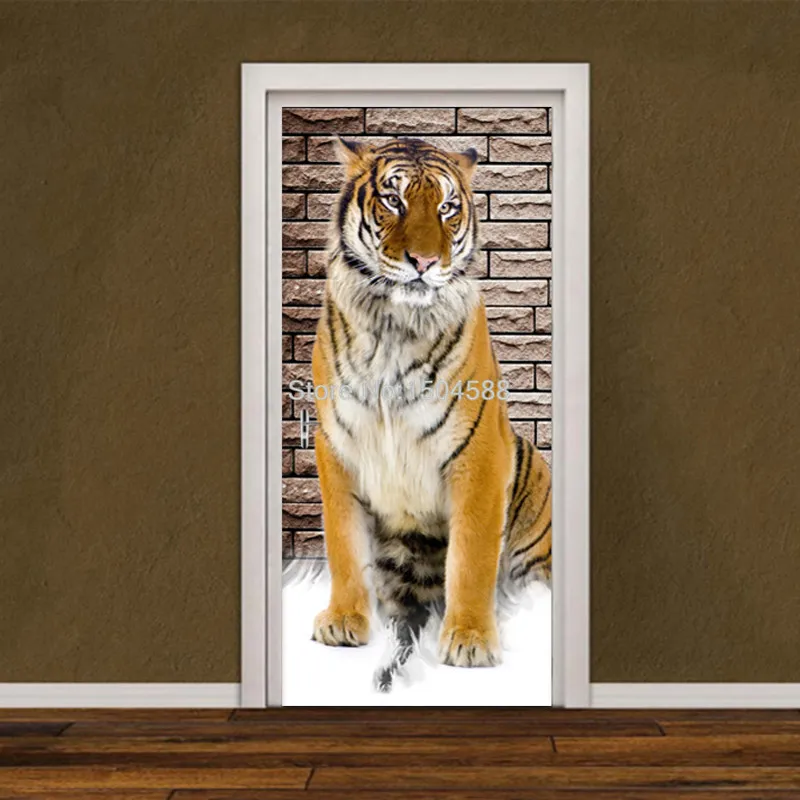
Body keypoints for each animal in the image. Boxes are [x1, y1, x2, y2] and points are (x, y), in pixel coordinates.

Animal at [309, 136, 552, 689]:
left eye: (446, 207)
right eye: (393, 201)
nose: (423, 261)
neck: (394, 326)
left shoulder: (479, 457)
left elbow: (472, 556)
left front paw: (470, 640)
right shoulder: (338, 451)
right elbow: (344, 546)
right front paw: (344, 621)